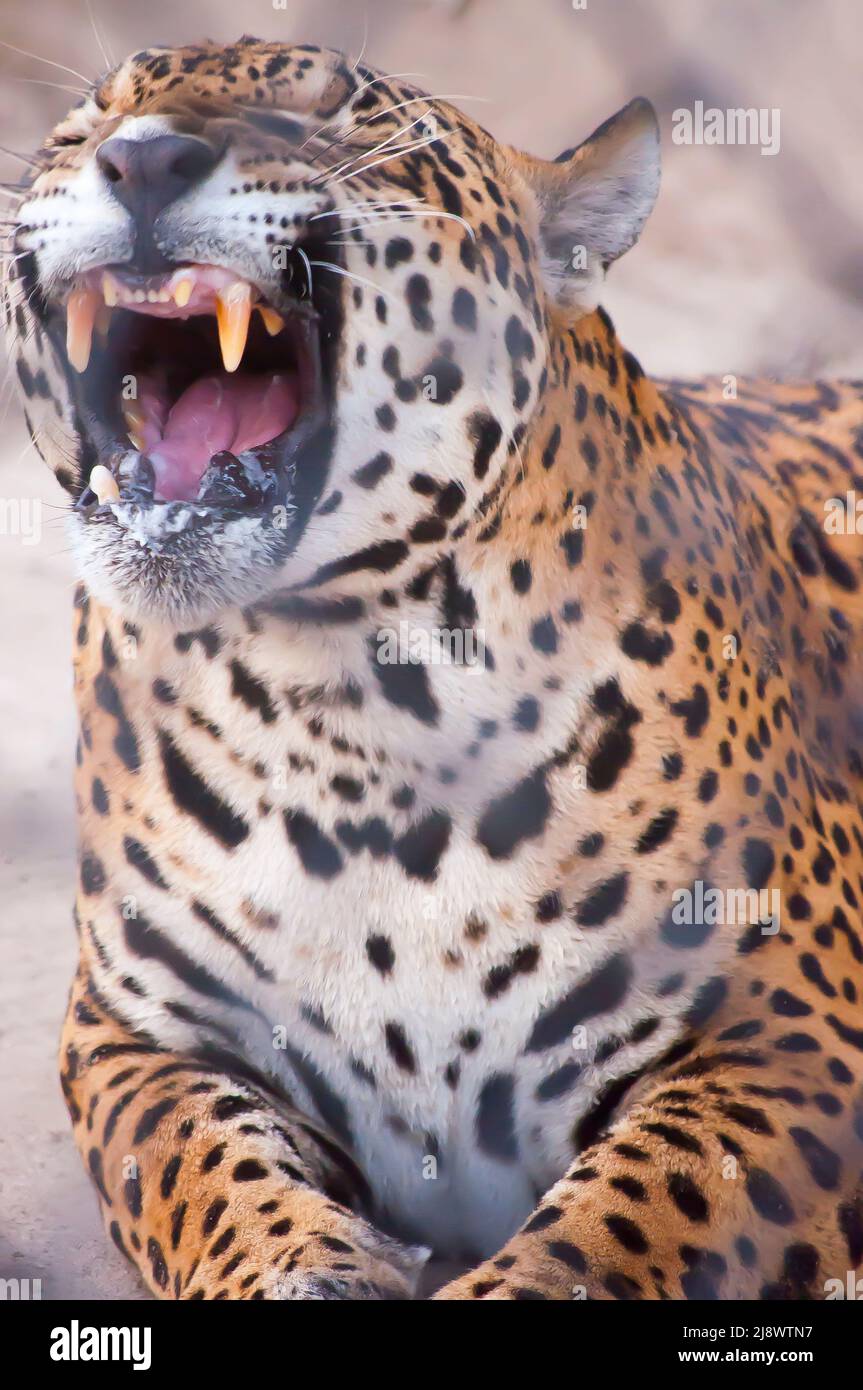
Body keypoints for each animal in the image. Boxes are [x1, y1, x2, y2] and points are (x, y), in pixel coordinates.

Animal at [5, 36, 863, 1302]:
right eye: (88, 122)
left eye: (328, 112)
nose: (142, 160)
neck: (342, 707)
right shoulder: (138, 1035)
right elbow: (201, 1172)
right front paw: (300, 1267)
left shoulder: (791, 1030)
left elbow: (625, 1216)